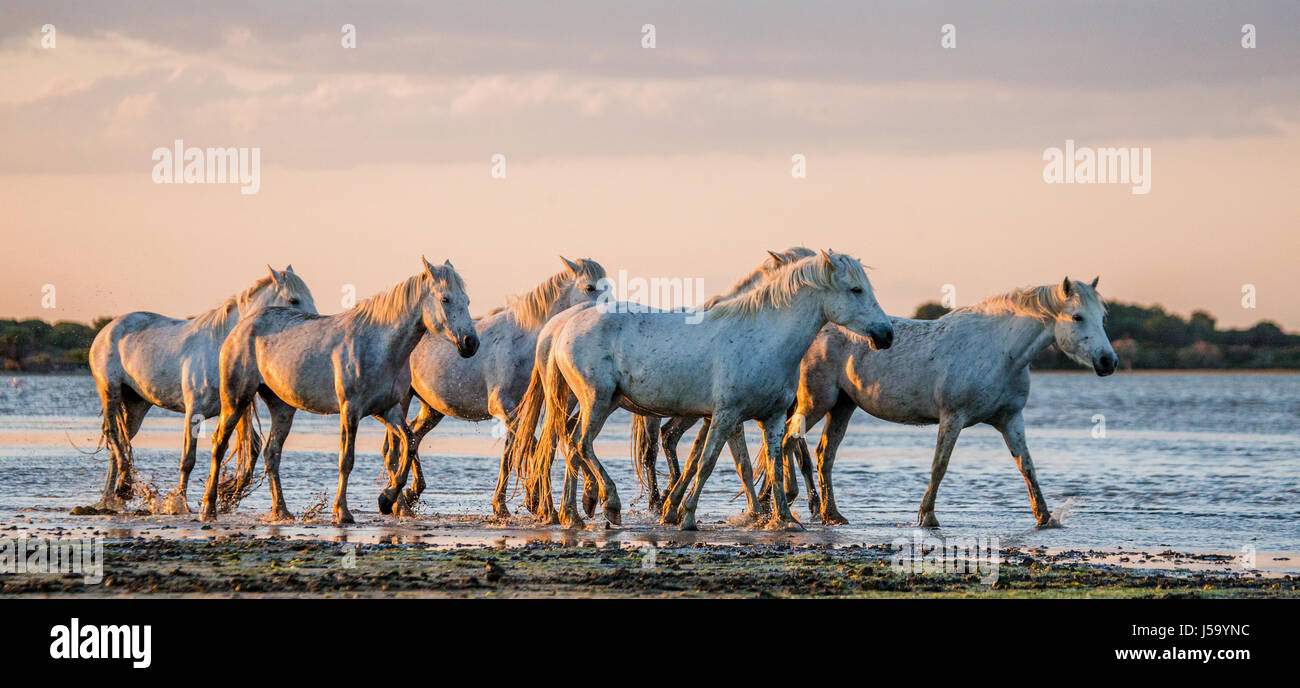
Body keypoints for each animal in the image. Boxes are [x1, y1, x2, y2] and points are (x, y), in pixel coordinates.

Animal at [86, 266, 317, 512]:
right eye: (293, 300)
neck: (220, 346)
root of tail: (107, 330)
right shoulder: (194, 412)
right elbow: (188, 459)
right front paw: (181, 503)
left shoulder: (233, 408)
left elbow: (250, 447)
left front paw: (227, 493)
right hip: (110, 391)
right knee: (114, 435)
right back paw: (121, 489)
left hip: (137, 404)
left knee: (121, 441)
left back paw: (114, 496)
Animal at [200, 257, 479, 523]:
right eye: (445, 299)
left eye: (467, 300)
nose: (471, 343)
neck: (380, 345)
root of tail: (242, 326)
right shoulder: (350, 410)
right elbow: (347, 460)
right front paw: (342, 512)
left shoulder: (388, 410)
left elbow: (408, 445)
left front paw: (386, 500)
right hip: (235, 400)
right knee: (219, 445)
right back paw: (208, 508)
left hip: (282, 407)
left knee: (272, 453)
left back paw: (281, 512)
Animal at [378, 257, 608, 518]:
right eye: (590, 287)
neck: (525, 342)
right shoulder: (504, 408)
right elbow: (532, 447)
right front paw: (535, 500)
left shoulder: (518, 412)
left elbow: (515, 453)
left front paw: (505, 505)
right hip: (403, 400)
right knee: (394, 448)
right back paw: (399, 504)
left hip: (431, 409)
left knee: (413, 437)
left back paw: (411, 493)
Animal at [512, 251, 895, 530]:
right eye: (856, 290)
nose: (886, 334)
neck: (764, 338)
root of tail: (565, 325)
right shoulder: (725, 415)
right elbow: (708, 463)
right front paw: (688, 517)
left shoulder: (768, 418)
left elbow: (768, 463)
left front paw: (784, 520)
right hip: (598, 401)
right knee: (580, 443)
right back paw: (610, 504)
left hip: (594, 403)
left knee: (570, 443)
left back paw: (573, 514)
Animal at [781, 277, 1117, 527]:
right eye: (1077, 317)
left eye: (1102, 318)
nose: (1108, 361)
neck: (1000, 352)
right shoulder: (953, 417)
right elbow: (939, 465)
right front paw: (927, 517)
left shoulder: (1011, 420)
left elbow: (1027, 467)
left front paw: (1045, 517)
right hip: (816, 404)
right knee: (787, 440)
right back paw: (786, 503)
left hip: (842, 406)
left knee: (823, 455)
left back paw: (831, 515)